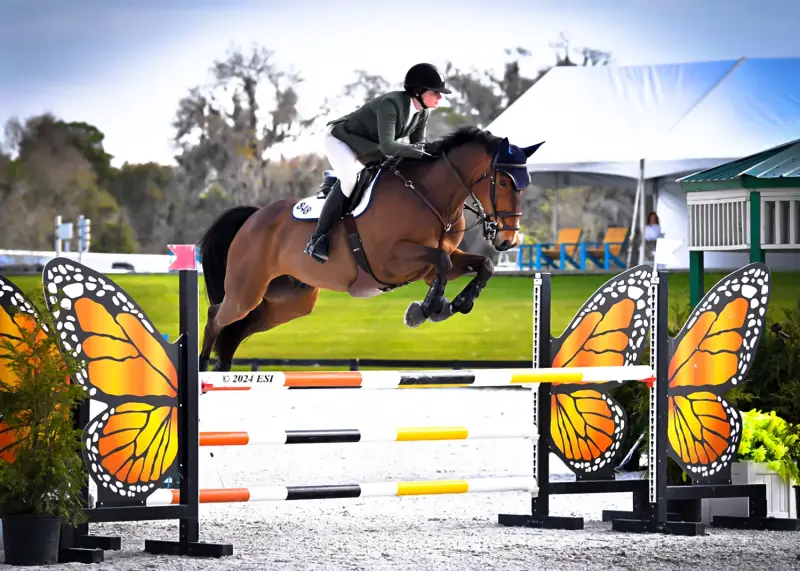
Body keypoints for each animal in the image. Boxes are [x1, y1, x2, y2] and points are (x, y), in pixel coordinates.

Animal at [197, 126, 544, 372]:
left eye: (525, 184)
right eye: (502, 181)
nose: (508, 240)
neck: (429, 196)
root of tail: (253, 217)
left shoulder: (431, 265)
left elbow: (482, 264)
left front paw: (457, 303)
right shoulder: (391, 261)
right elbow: (442, 261)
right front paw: (425, 309)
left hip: (288, 300)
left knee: (237, 329)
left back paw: (222, 369)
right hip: (248, 290)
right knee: (217, 316)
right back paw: (202, 367)